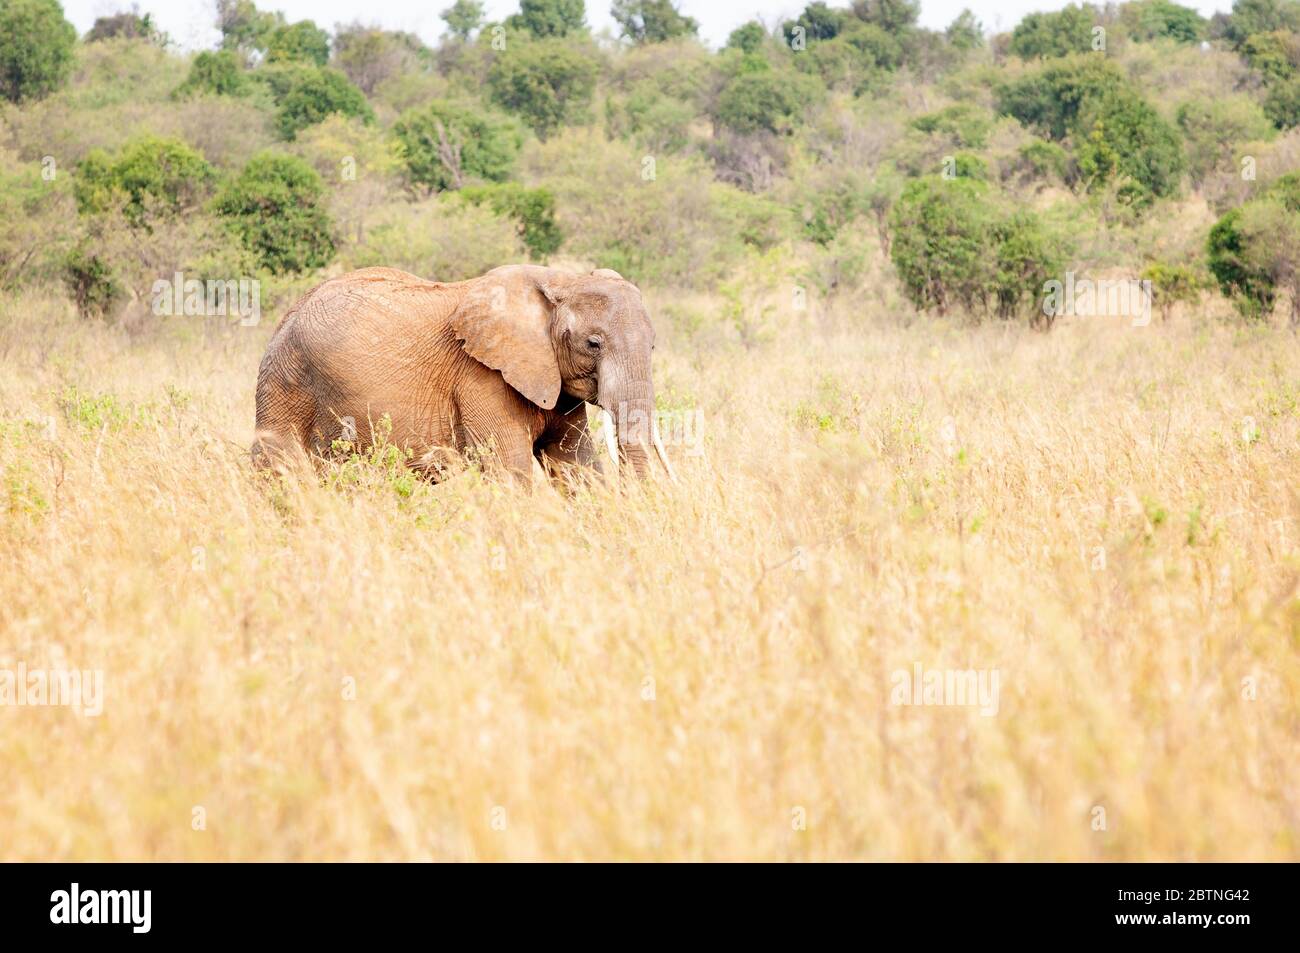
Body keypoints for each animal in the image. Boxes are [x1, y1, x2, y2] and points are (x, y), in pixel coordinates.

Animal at [251, 264, 676, 484]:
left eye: (654, 346)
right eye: (594, 344)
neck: (559, 279)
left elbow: (575, 466)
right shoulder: (483, 377)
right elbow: (510, 470)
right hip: (286, 383)